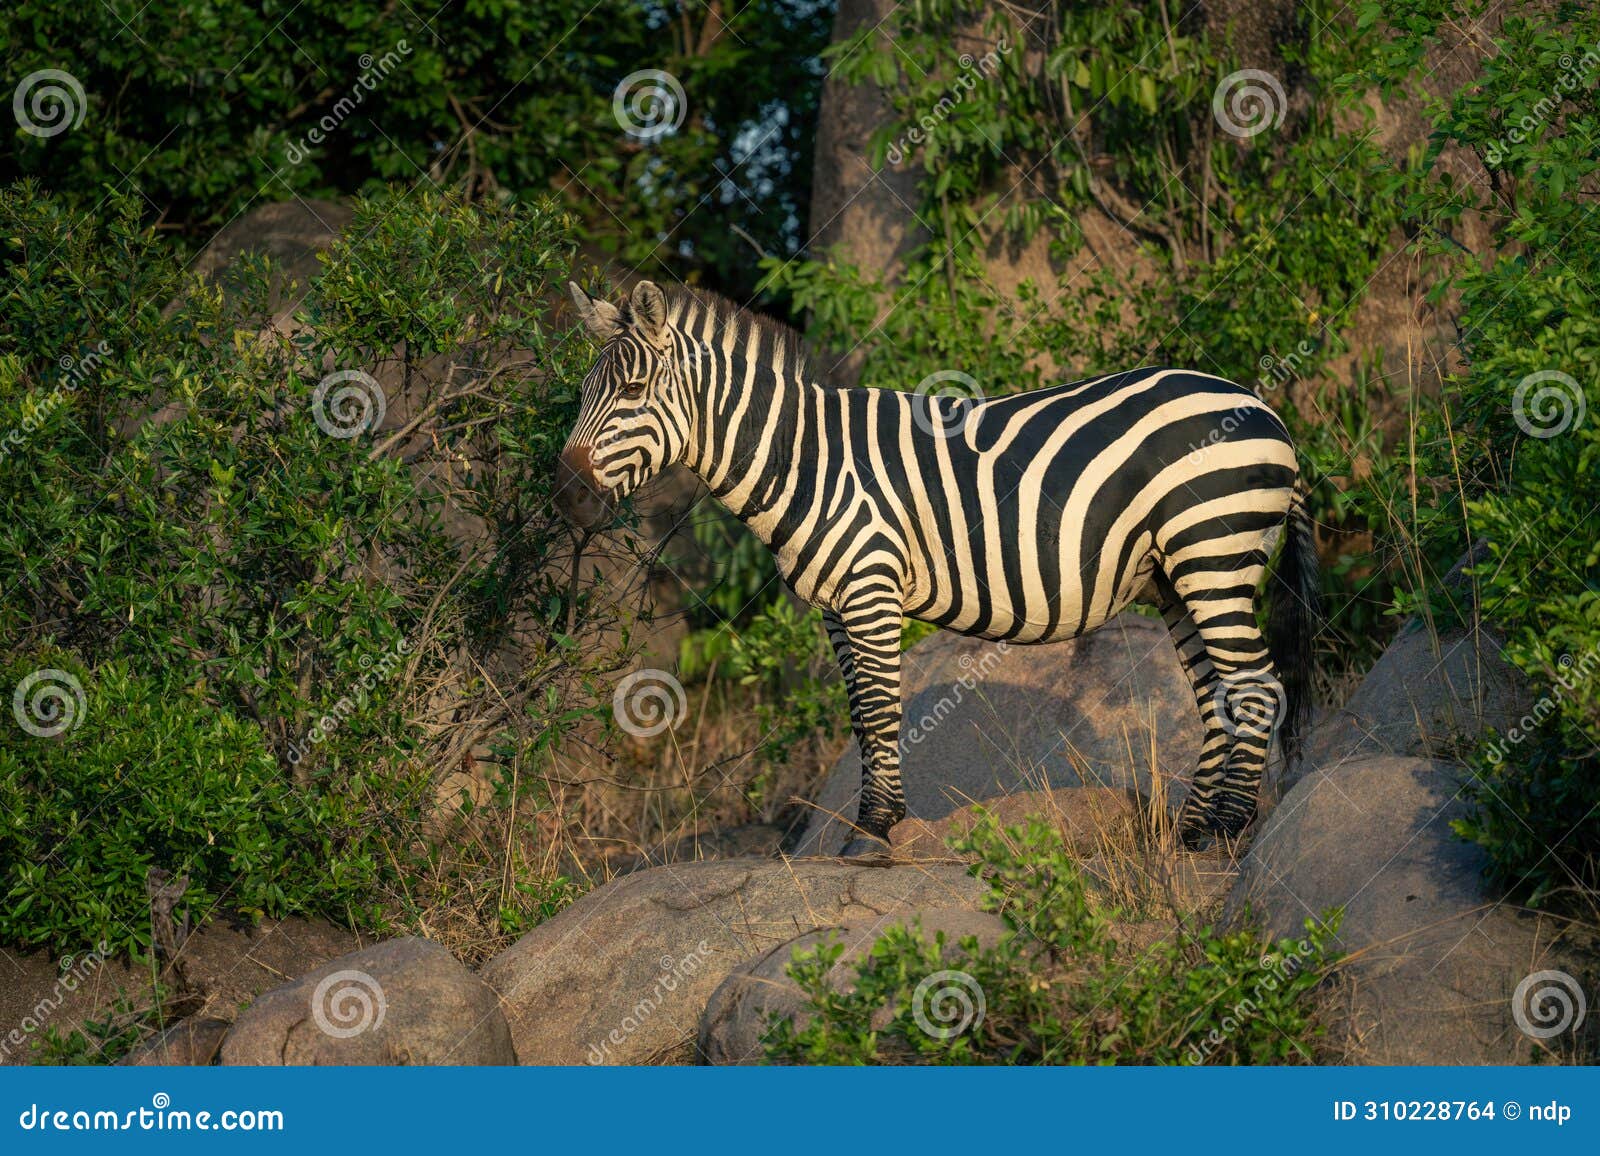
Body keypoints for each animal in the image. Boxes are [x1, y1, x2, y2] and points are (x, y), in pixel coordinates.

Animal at [555, 280, 1319, 855]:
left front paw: (872, 831)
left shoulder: (870, 585)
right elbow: (861, 716)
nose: (568, 496)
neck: (803, 460)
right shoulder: (835, 604)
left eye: (631, 392)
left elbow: (882, 708)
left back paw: (1228, 828)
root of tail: (1264, 409)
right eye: (585, 393)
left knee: (1255, 685)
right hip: (1176, 577)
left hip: (1213, 554)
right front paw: (874, 822)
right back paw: (1191, 832)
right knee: (1215, 693)